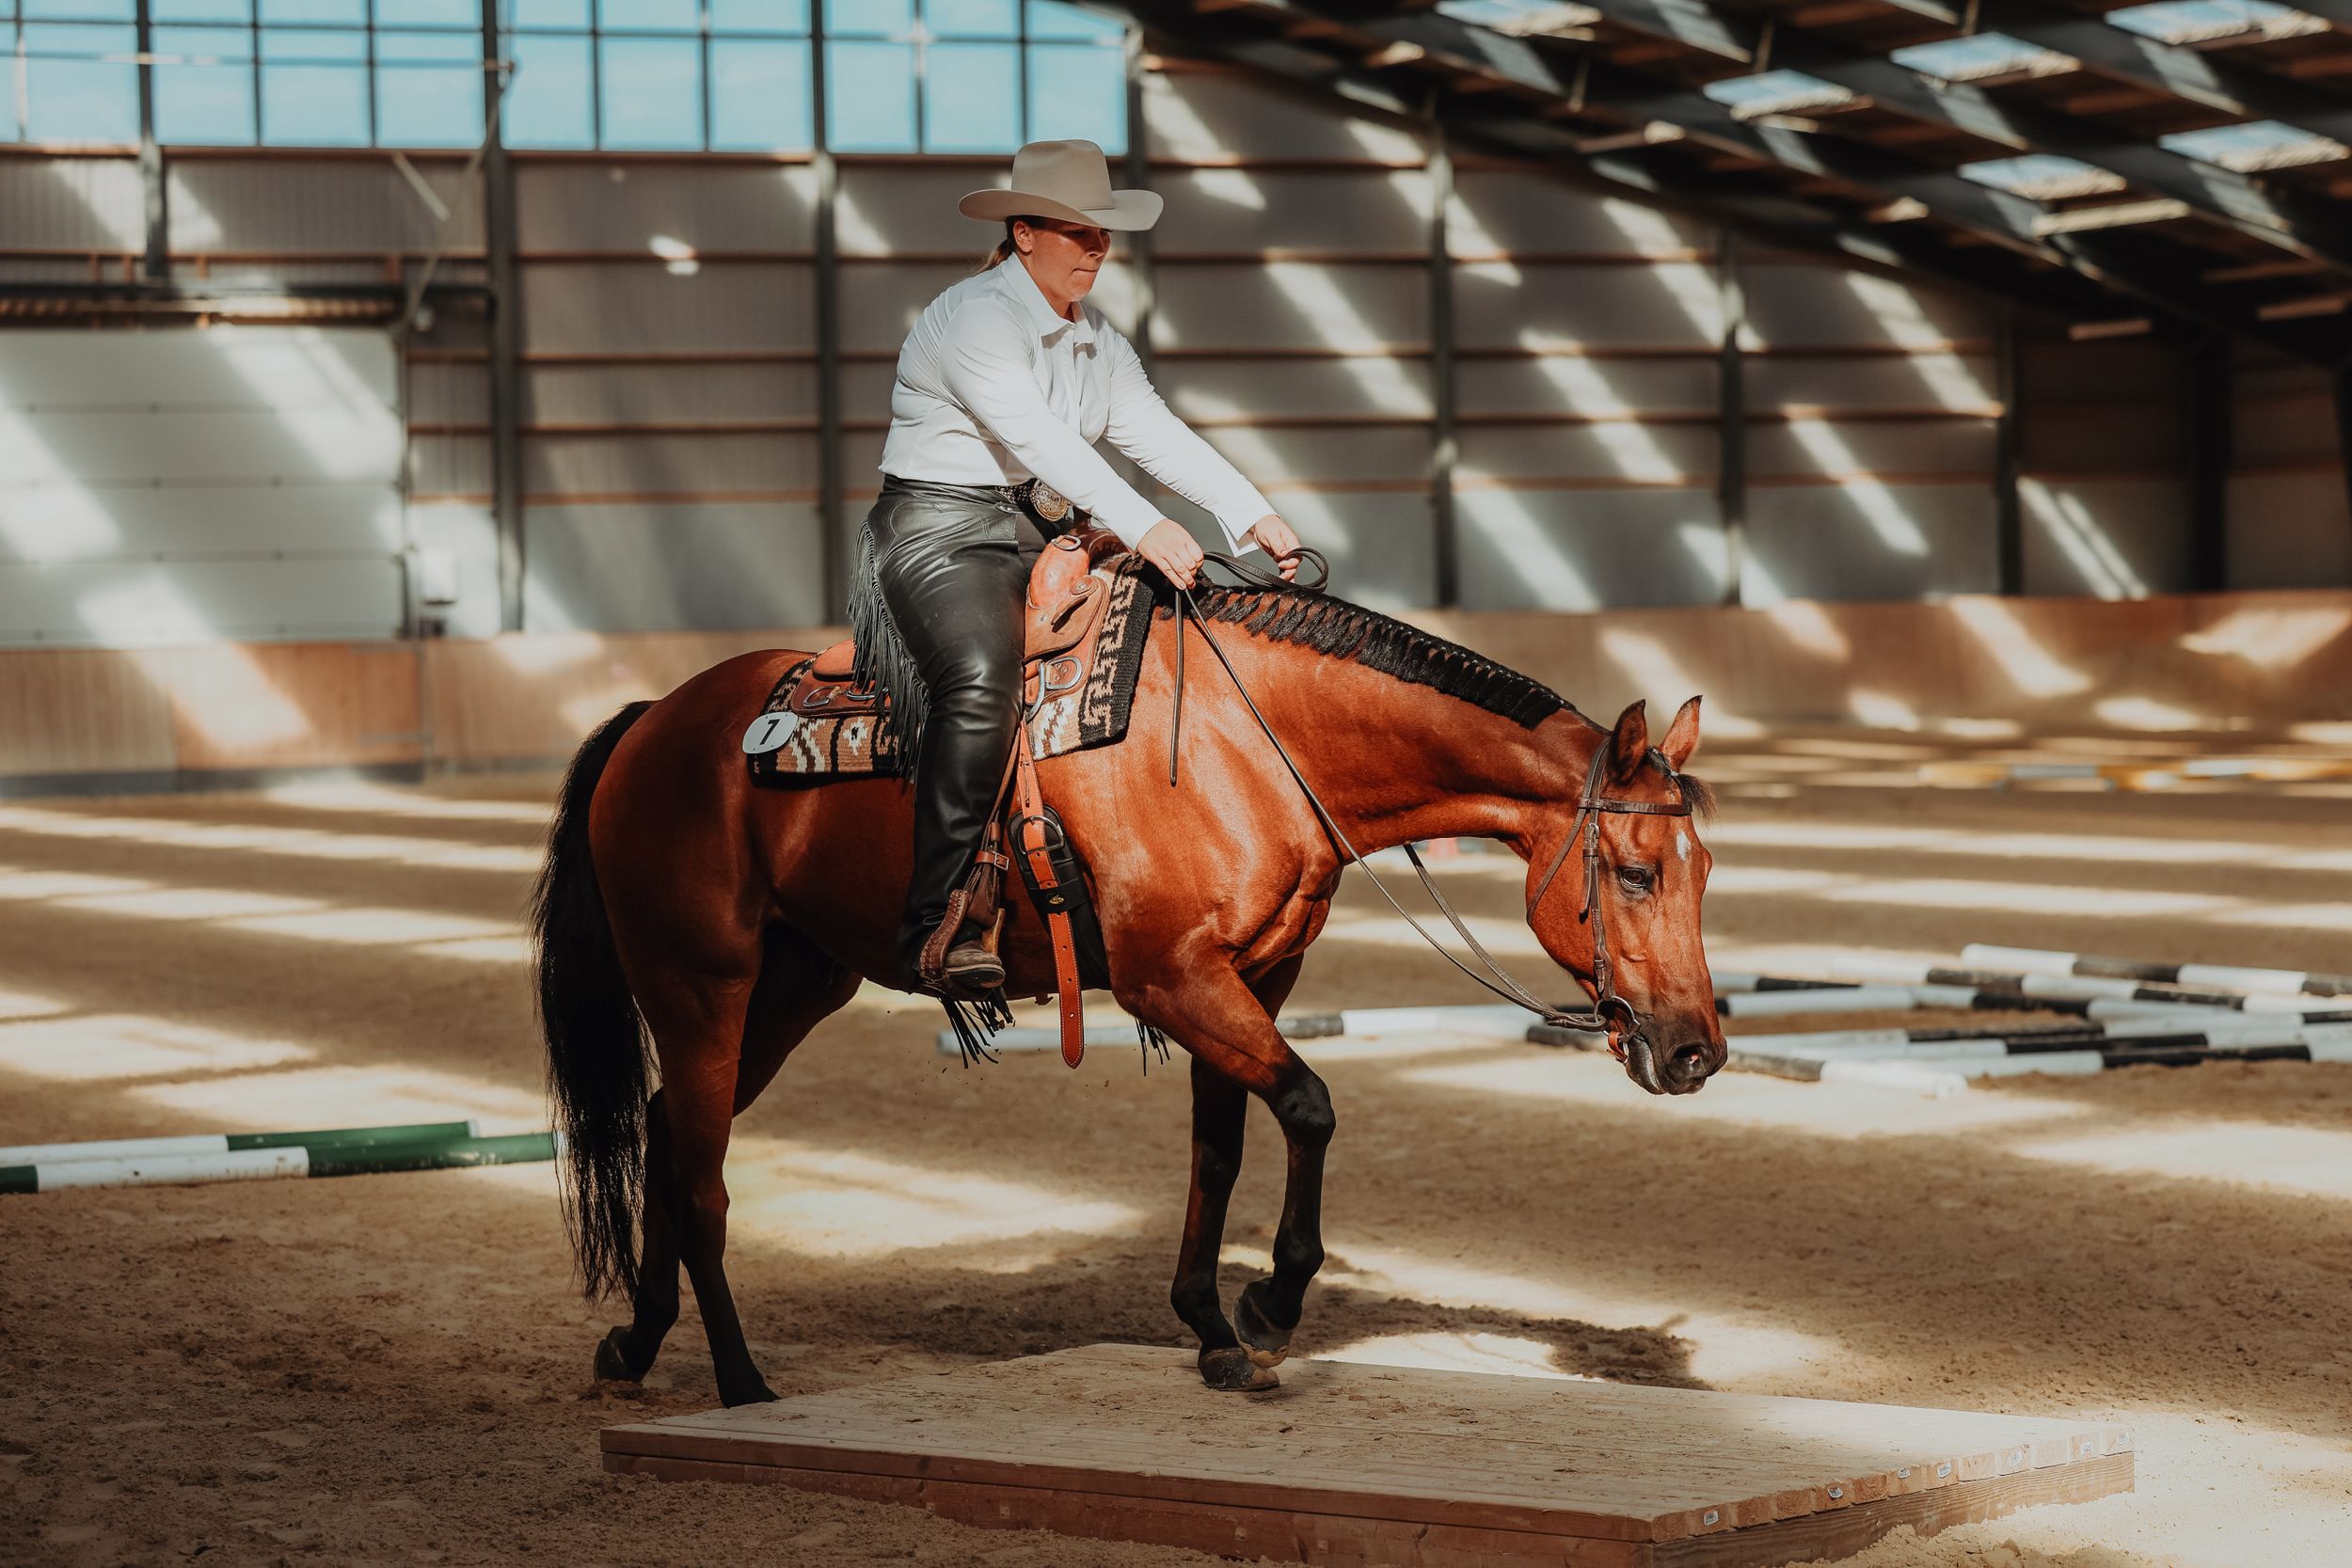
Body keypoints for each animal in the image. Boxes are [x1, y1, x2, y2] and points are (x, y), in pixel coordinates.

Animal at [531, 580, 1726, 1407]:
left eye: (1705, 867)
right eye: (1634, 871)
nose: (1696, 1050)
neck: (1251, 745)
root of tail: (654, 718)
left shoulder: (1253, 979)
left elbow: (1222, 1144)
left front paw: (1213, 1330)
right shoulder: (1170, 977)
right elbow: (1309, 1107)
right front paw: (1268, 1304)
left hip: (793, 988)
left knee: (665, 1134)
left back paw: (634, 1343)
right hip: (702, 988)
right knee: (702, 1177)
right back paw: (740, 1381)